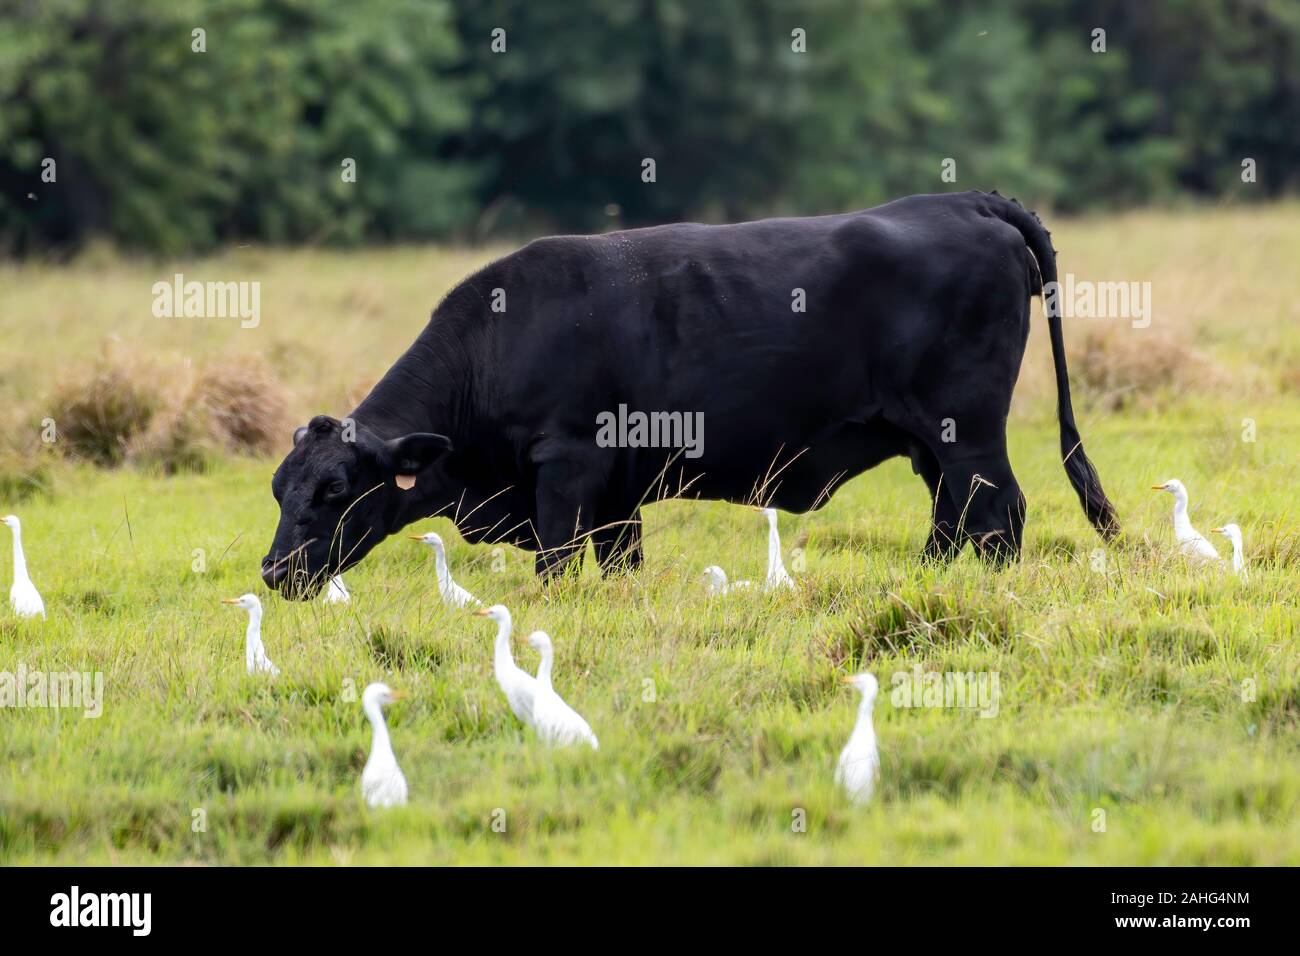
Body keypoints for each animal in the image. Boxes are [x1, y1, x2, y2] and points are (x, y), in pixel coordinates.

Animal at [261, 190, 1119, 598]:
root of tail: (965, 201)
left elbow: (558, 563)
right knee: (951, 517)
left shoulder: (567, 464)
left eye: (335, 490)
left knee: (998, 513)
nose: (272, 573)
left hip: (966, 429)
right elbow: (620, 562)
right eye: (279, 488)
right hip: (927, 441)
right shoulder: (617, 490)